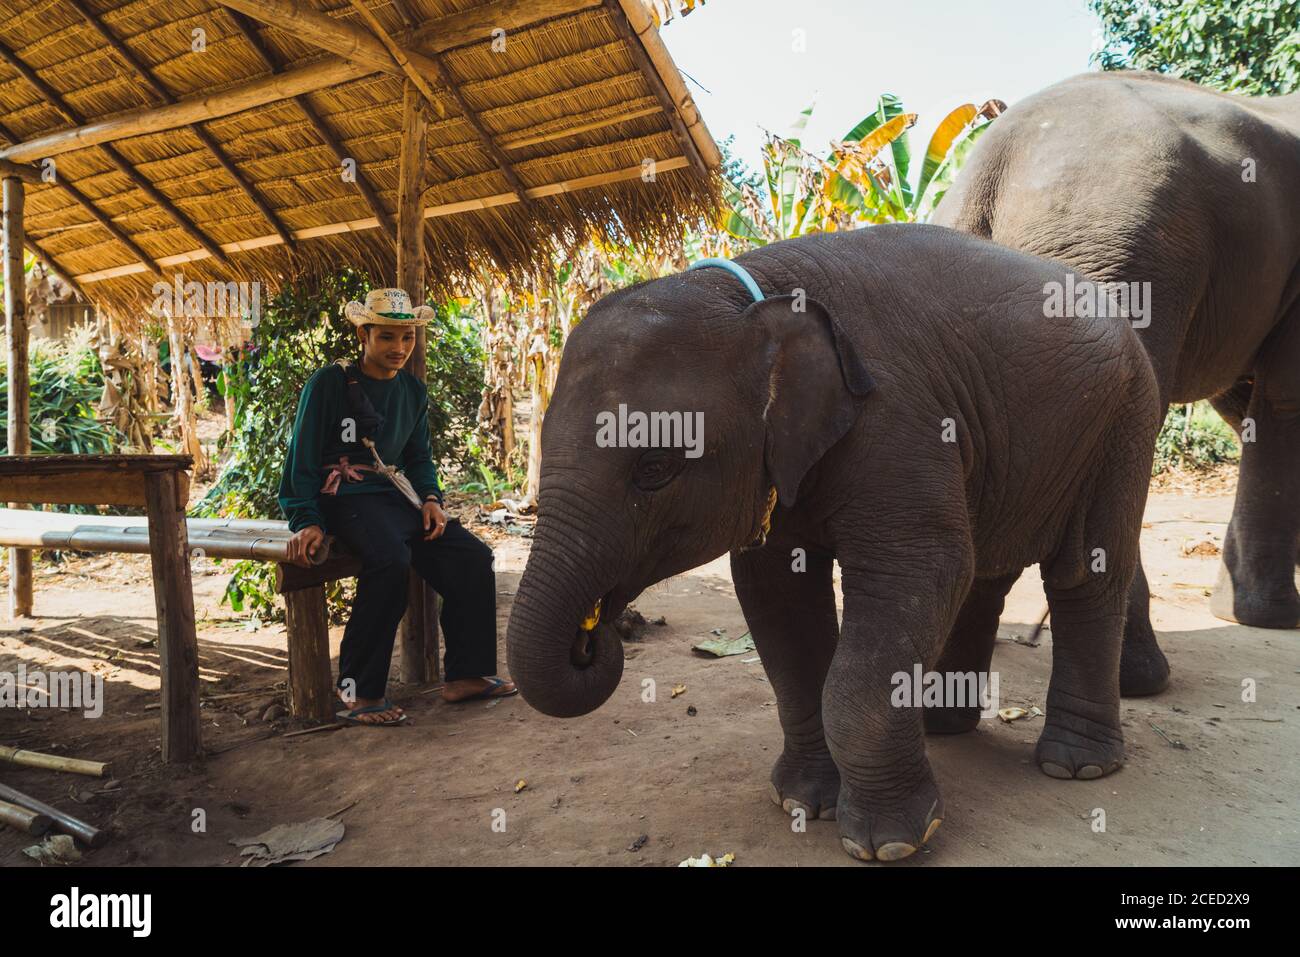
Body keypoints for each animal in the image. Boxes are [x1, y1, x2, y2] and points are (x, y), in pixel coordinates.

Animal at [506, 224, 1162, 862]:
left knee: (1083, 574)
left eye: (655, 468)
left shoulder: (897, 419)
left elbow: (922, 571)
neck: (748, 298)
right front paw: (803, 803)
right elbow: (779, 602)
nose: (593, 638)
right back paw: (943, 725)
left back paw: (1077, 766)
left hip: (1126, 421)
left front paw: (892, 841)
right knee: (985, 572)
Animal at [931, 70, 1300, 696]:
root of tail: (991, 160)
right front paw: (1269, 618)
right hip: (1117, 252)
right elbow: (1282, 399)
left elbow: (1246, 403)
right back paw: (1138, 678)